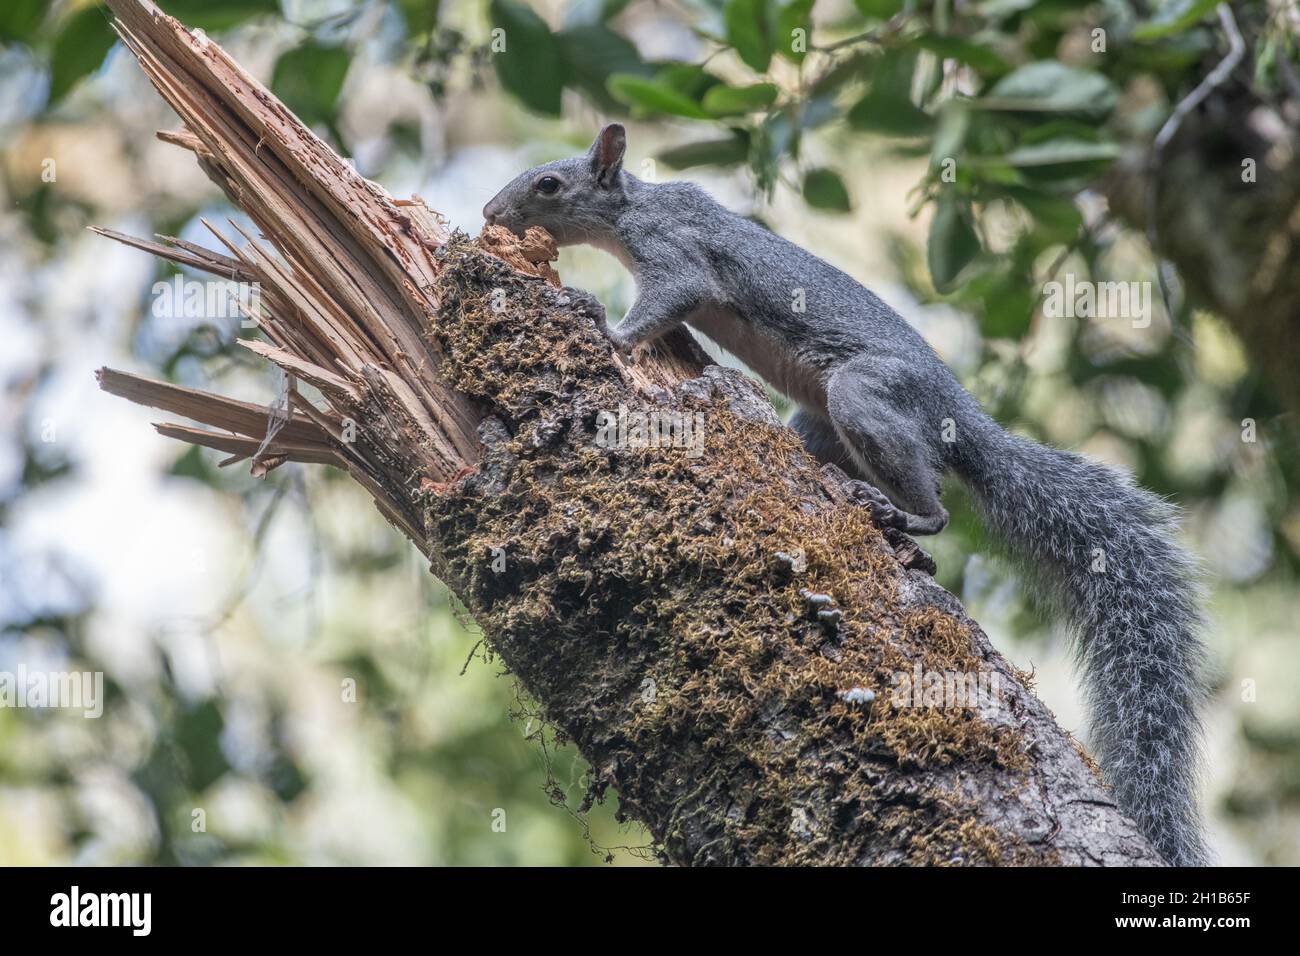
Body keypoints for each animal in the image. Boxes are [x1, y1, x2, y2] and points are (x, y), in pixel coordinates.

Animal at [483, 124, 1211, 866]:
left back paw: (897, 513)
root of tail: (960, 416)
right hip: (823, 420)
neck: (634, 208)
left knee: (937, 504)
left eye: (548, 184)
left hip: (864, 394)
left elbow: (671, 297)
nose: (490, 214)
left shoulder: (676, 252)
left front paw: (606, 325)